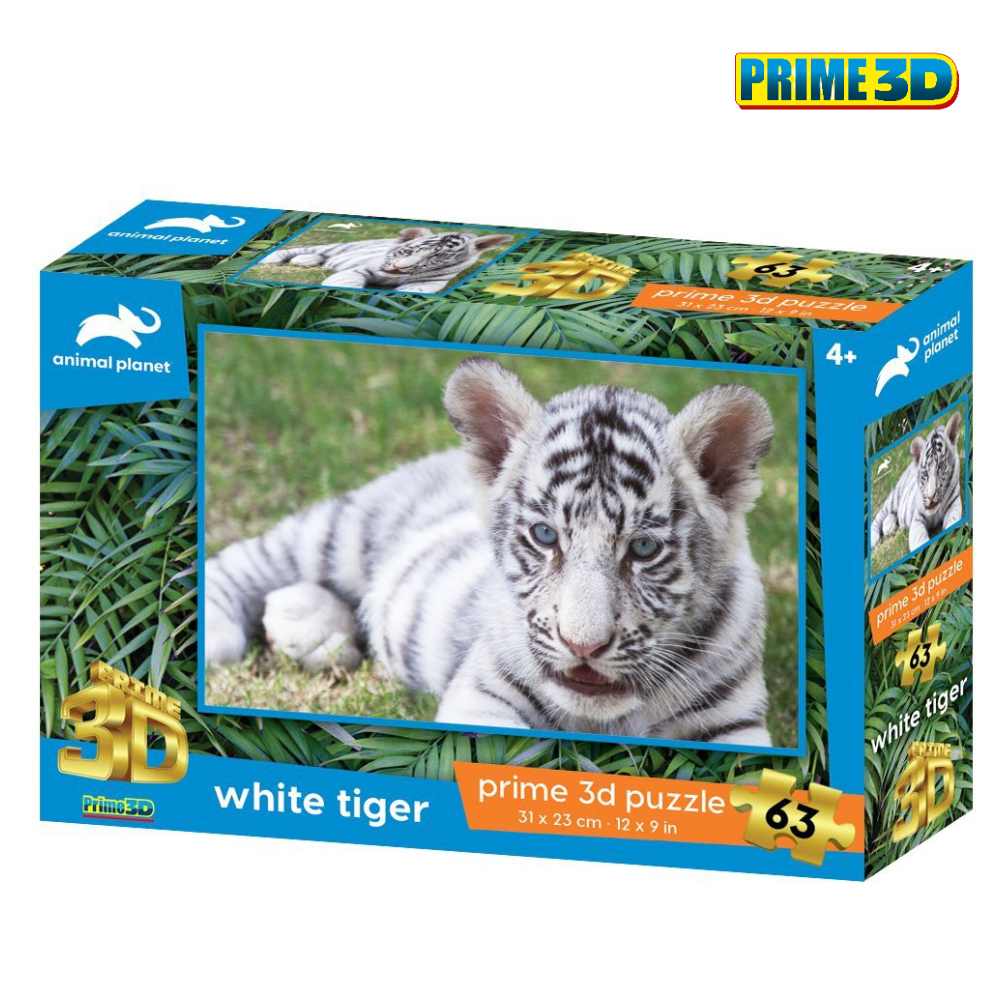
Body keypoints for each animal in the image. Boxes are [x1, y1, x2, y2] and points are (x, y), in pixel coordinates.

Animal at [205, 358, 776, 746]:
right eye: (545, 536)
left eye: (643, 547)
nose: (583, 646)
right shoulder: (484, 695)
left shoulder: (735, 724)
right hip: (346, 529)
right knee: (246, 560)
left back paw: (309, 627)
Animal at [870, 410, 963, 554]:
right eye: (925, 474)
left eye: (940, 468)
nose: (930, 497)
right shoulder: (918, 518)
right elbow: (919, 540)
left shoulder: (954, 504)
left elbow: (953, 522)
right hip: (894, 498)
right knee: (878, 516)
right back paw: (874, 538)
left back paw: (888, 526)